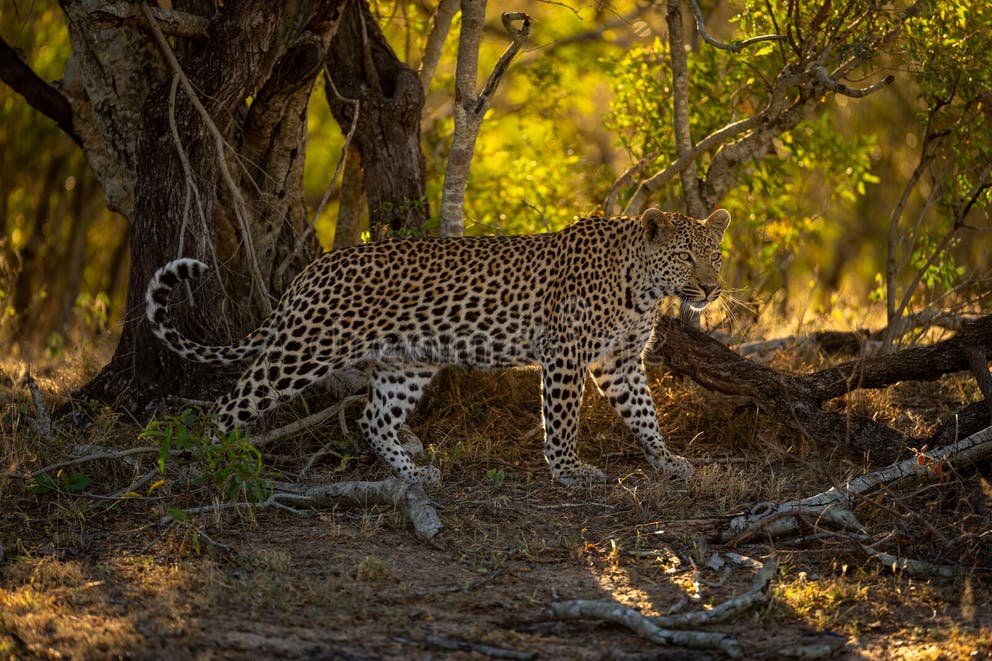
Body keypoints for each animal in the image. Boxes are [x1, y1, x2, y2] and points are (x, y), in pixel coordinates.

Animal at [145, 207, 731, 486]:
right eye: (685, 256)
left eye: (715, 255)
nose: (710, 289)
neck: (643, 288)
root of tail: (313, 269)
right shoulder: (566, 354)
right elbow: (563, 419)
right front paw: (569, 472)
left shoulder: (620, 360)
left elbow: (645, 414)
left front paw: (666, 460)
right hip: (306, 348)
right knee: (229, 403)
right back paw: (207, 464)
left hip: (406, 363)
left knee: (374, 419)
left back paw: (413, 474)